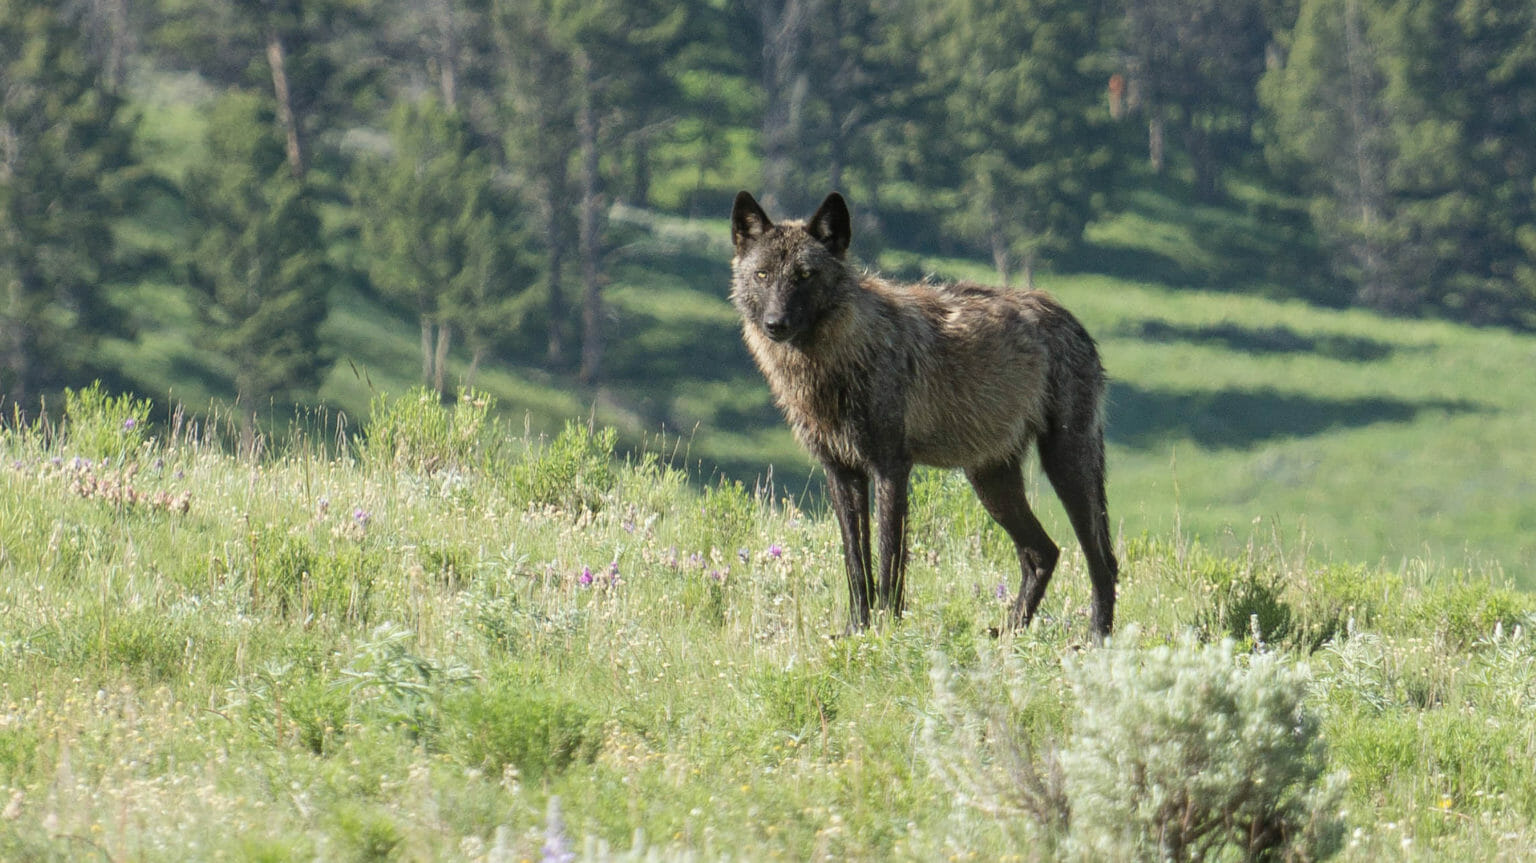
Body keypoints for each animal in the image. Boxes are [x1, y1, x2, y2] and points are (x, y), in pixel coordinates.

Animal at [730, 190, 1118, 639]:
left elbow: (889, 560)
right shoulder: (841, 472)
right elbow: (855, 564)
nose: (775, 323)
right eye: (762, 275)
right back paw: (1008, 635)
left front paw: (887, 632)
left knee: (1101, 561)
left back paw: (1096, 640)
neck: (839, 358)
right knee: (1042, 552)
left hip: (1064, 465)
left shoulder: (891, 468)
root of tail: (1072, 320)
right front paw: (857, 631)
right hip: (991, 480)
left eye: (804, 275)